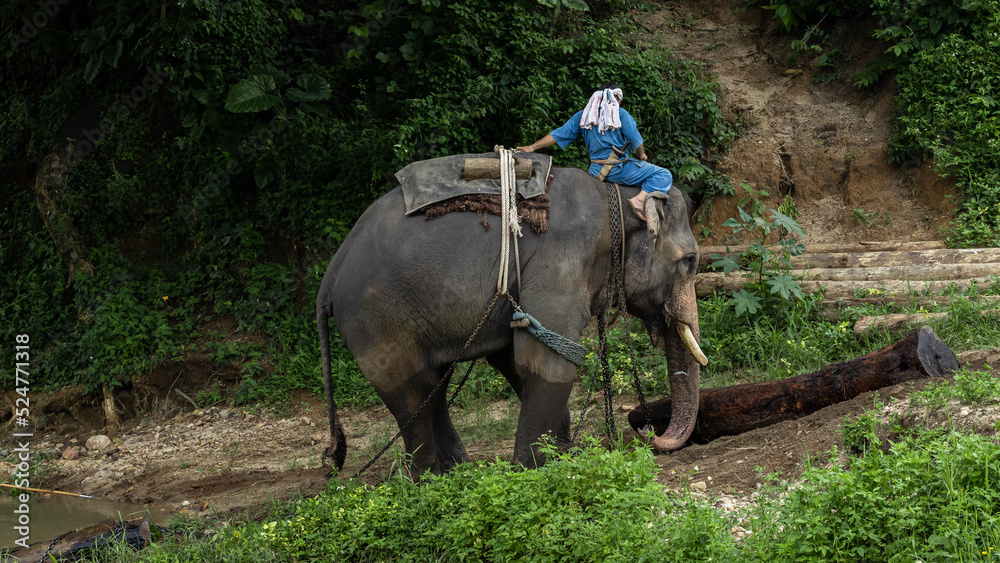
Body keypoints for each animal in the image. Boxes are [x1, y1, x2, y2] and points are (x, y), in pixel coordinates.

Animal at [316, 166, 707, 478]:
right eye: (690, 260)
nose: (648, 433)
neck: (615, 196)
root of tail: (329, 278)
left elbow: (512, 355)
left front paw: (560, 458)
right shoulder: (561, 260)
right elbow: (546, 357)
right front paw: (533, 471)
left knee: (433, 387)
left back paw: (457, 473)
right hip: (376, 324)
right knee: (411, 393)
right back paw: (428, 482)